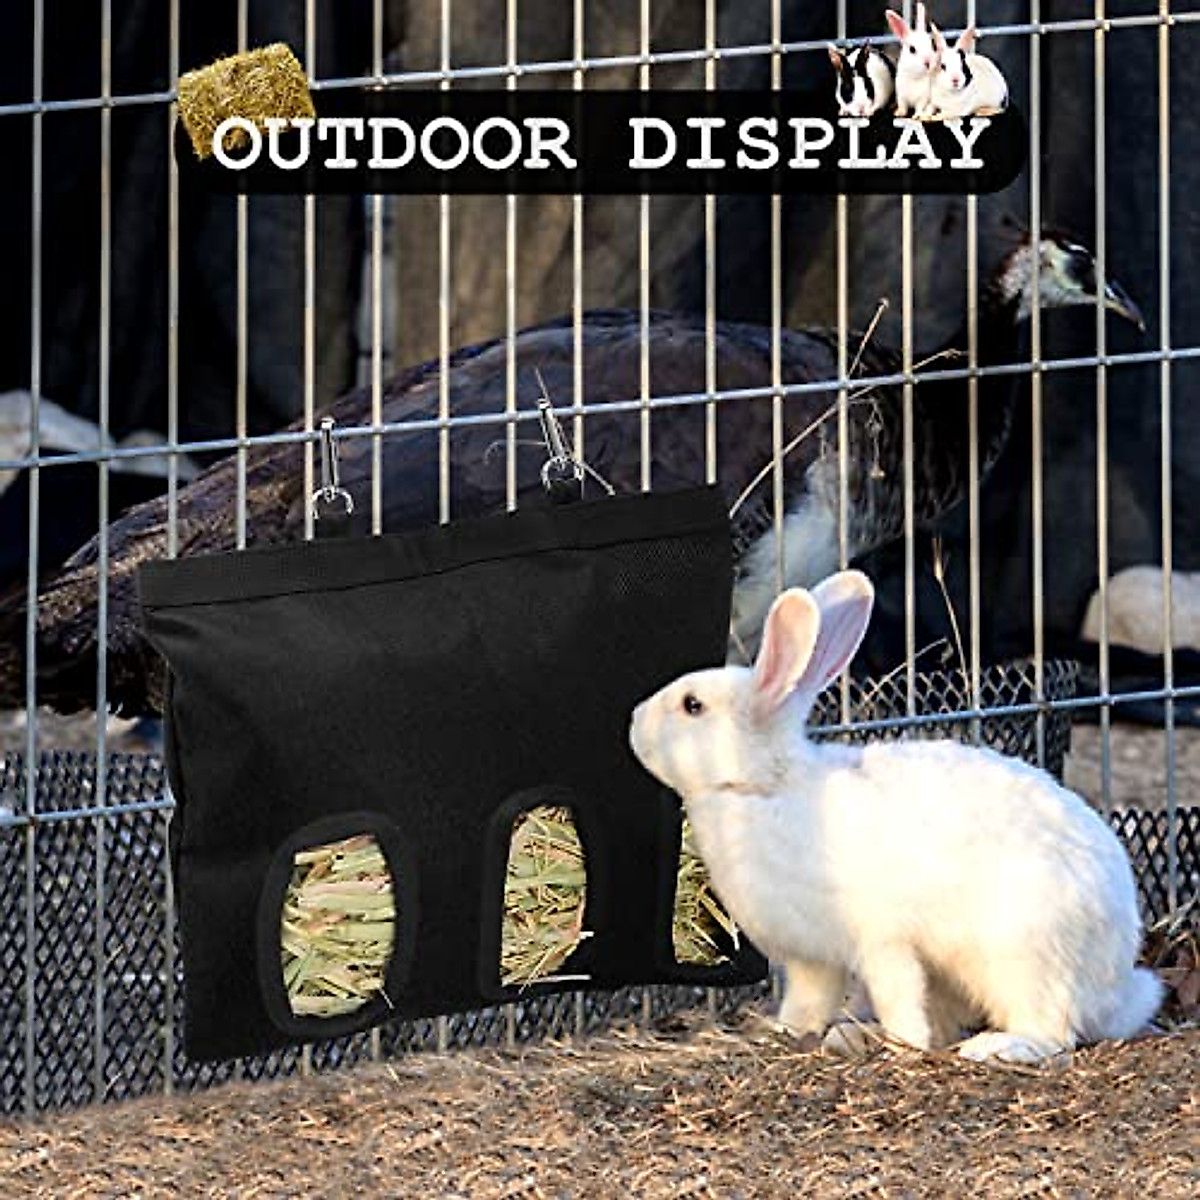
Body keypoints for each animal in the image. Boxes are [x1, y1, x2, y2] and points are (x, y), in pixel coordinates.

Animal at [629, 571, 1164, 1065]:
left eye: (692, 706)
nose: (634, 720)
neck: (765, 786)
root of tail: (1116, 982)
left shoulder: (882, 940)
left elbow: (898, 993)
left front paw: (904, 1044)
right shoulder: (812, 959)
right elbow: (808, 1000)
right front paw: (784, 1031)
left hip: (1022, 955)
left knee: (1052, 1029)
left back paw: (996, 1047)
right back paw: (854, 1036)